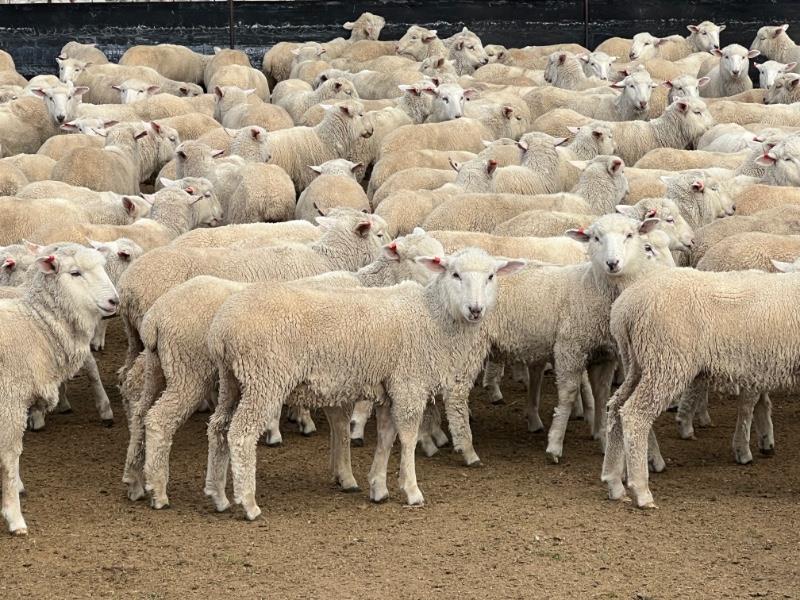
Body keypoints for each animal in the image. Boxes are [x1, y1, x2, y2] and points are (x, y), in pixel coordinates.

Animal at [0, 244, 118, 534]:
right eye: (75, 273)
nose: (114, 301)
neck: (35, 323)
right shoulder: (10, 402)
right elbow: (10, 456)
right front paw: (14, 517)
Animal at [203, 246, 523, 518]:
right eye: (455, 274)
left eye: (491, 276)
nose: (475, 310)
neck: (432, 317)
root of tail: (221, 329)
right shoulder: (409, 385)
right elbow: (408, 438)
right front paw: (412, 490)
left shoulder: (390, 389)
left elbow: (386, 437)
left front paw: (378, 487)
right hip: (264, 378)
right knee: (240, 434)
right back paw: (248, 503)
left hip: (233, 380)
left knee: (218, 427)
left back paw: (218, 495)